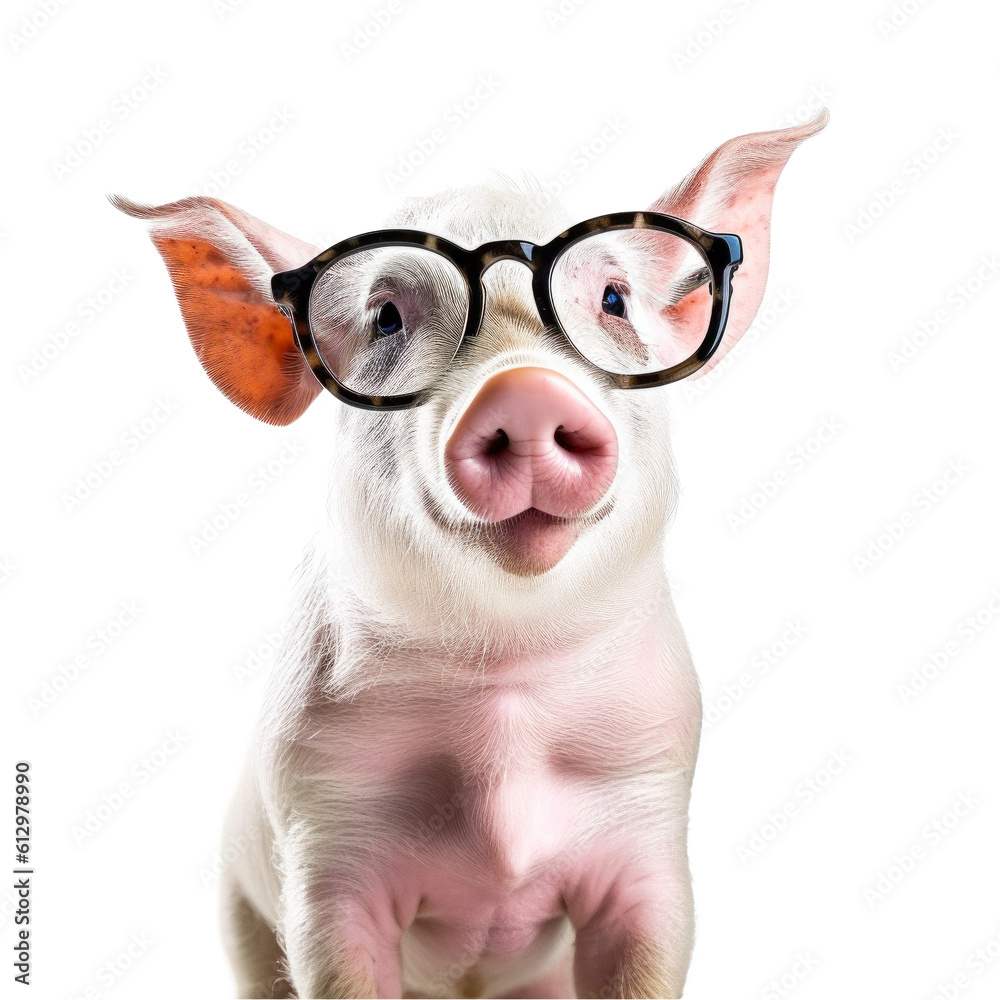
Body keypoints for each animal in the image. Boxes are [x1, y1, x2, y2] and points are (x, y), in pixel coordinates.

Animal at [114, 108, 827, 1000]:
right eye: (387, 317)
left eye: (615, 301)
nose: (522, 391)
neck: (503, 690)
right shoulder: (321, 838)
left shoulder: (651, 817)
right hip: (240, 916)